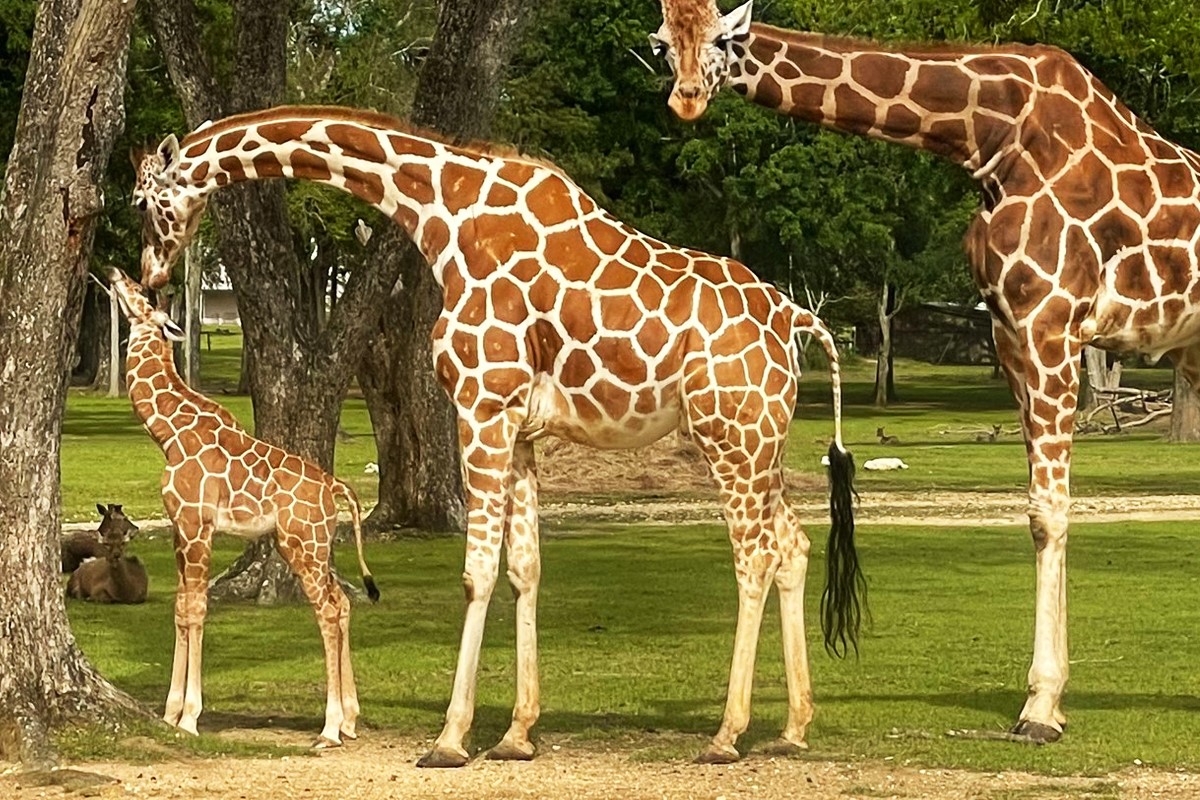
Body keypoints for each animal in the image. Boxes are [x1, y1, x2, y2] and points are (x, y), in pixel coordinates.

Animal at [109, 268, 379, 753]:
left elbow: (197, 609)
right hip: (313, 544)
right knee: (343, 601)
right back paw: (349, 720)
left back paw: (329, 729)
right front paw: (169, 713)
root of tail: (334, 487)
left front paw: (189, 718)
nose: (115, 273)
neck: (167, 434)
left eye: (140, 293)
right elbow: (180, 608)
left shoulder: (198, 526)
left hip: (302, 543)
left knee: (328, 611)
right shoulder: (179, 527)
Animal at [652, 0, 1200, 743]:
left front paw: (1040, 708)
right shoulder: (1011, 336)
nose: (686, 99)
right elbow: (1037, 509)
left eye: (722, 41)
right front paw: (1048, 700)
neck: (988, 135)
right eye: (660, 42)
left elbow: (1048, 514)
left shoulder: (1051, 324)